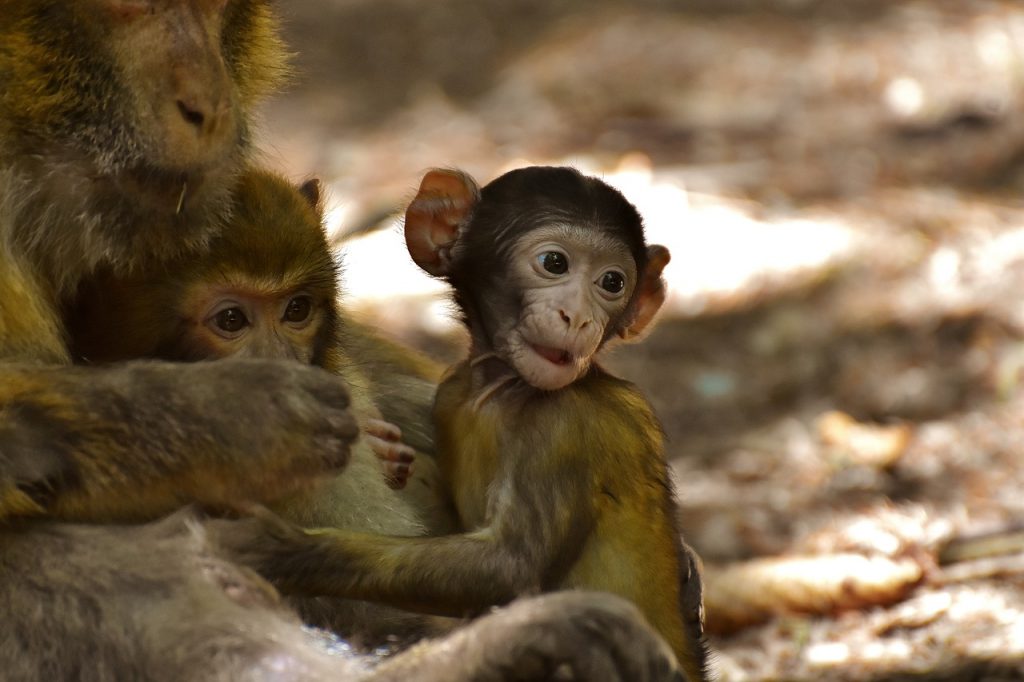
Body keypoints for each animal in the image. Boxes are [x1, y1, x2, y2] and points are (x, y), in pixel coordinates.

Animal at [226, 166, 710, 681]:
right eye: (554, 263)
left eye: (613, 282)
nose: (578, 318)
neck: (503, 390)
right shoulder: (453, 394)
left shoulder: (567, 427)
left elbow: (508, 567)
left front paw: (285, 550)